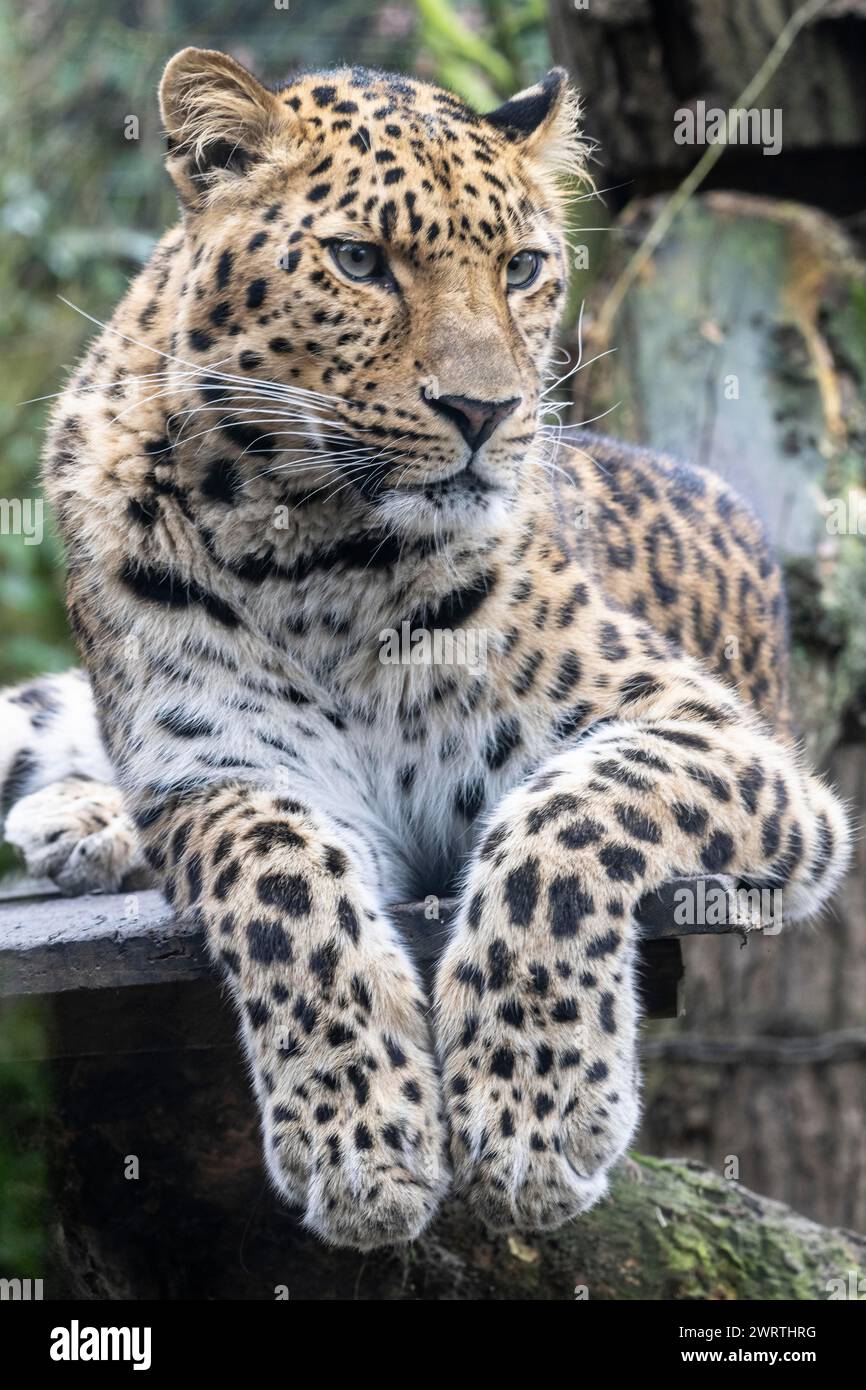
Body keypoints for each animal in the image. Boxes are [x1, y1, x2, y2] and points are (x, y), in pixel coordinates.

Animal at [0, 47, 851, 1250]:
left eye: (523, 266)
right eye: (360, 261)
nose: (483, 411)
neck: (318, 555)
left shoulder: (718, 738)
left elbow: (567, 822)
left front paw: (536, 1111)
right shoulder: (219, 769)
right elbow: (283, 888)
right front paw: (359, 1138)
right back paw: (77, 819)